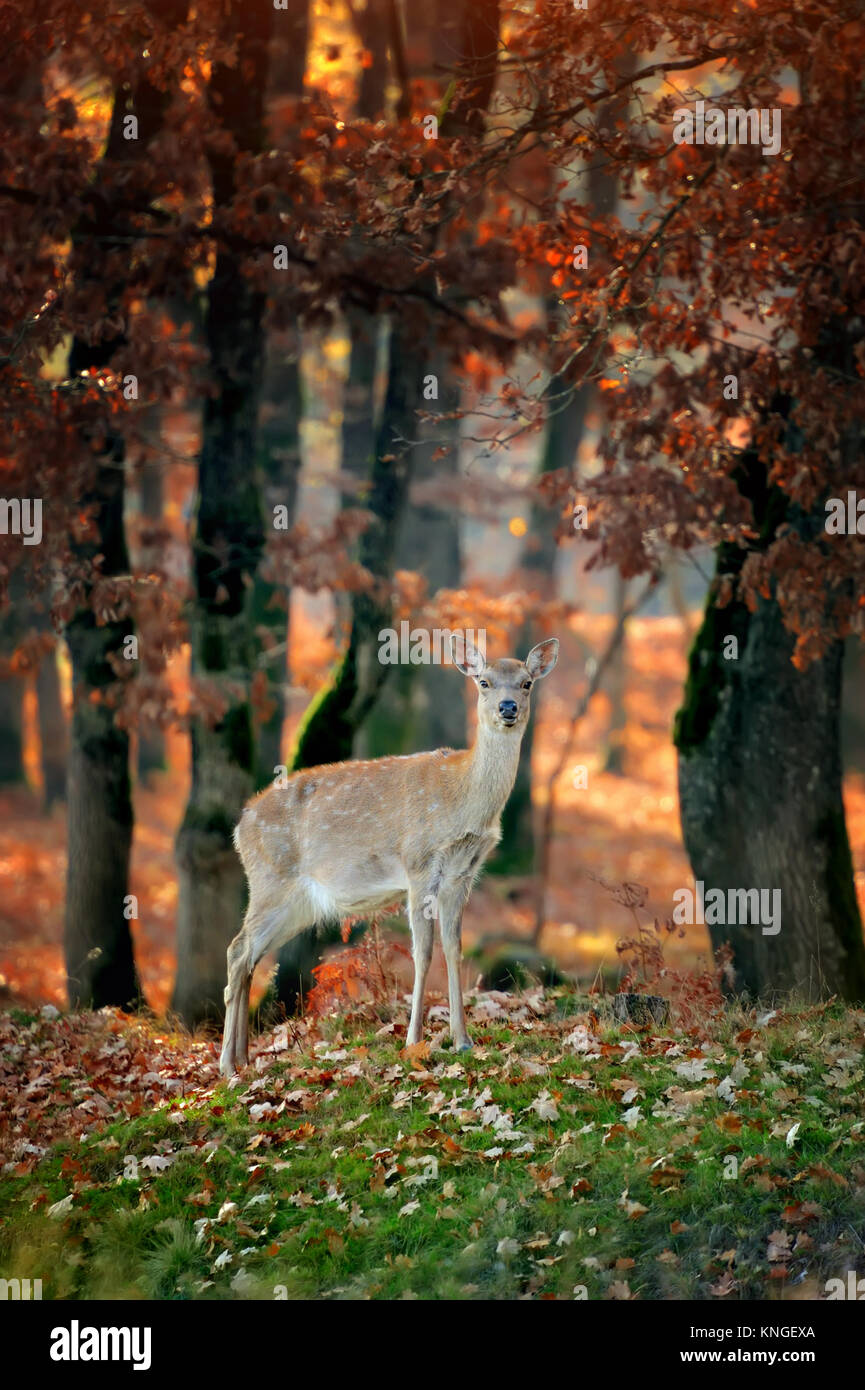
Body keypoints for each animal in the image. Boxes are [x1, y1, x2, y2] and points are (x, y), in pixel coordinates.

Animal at [219, 634, 559, 1077]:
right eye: (483, 682)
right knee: (237, 949)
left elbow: (453, 947)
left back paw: (243, 1059)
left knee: (250, 957)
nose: (507, 708)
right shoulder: (418, 863)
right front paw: (414, 1040)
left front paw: (463, 1040)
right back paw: (227, 1064)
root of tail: (240, 827)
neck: (463, 802)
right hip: (270, 880)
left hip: (298, 903)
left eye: (526, 683)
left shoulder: (462, 874)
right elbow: (423, 952)